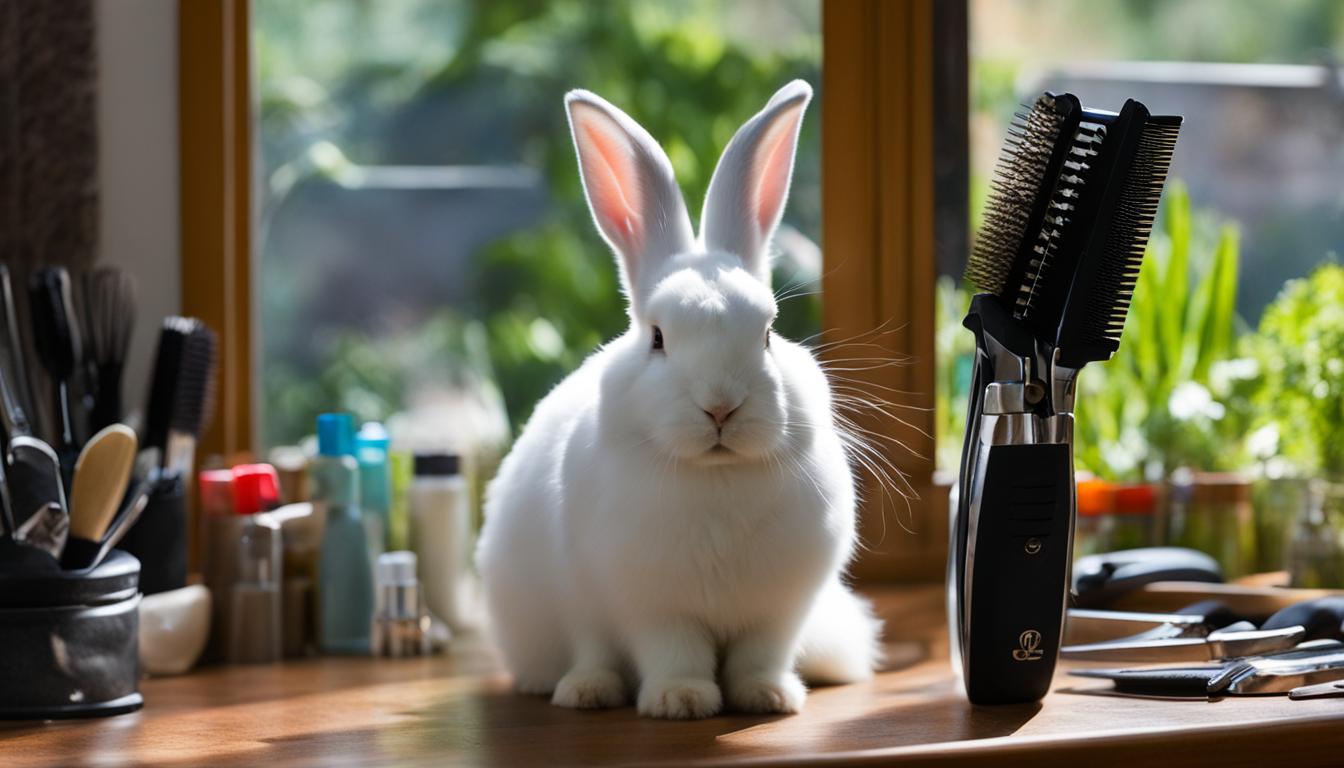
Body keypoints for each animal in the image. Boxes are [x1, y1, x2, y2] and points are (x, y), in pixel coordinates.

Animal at [475, 79, 882, 720]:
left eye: (768, 332)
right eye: (659, 338)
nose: (721, 407)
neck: (714, 476)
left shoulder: (777, 611)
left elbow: (758, 656)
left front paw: (768, 697)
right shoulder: (651, 607)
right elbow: (674, 653)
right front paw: (682, 702)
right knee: (590, 652)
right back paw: (585, 690)